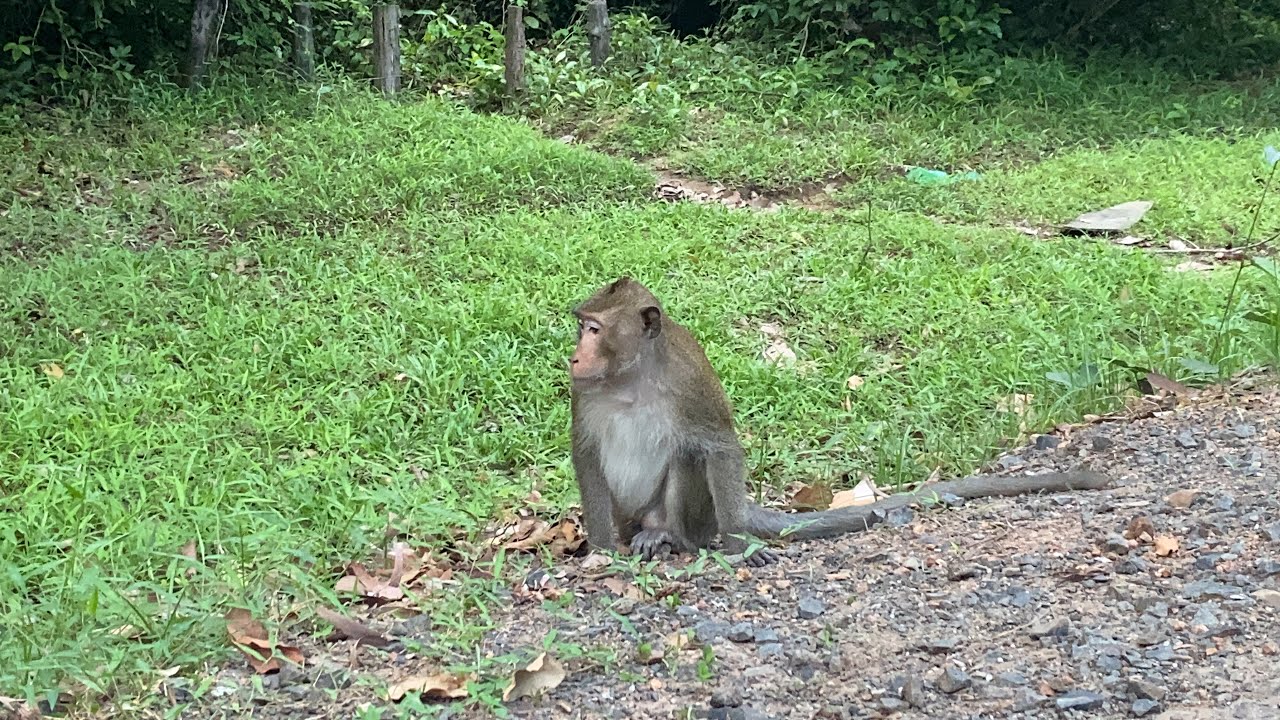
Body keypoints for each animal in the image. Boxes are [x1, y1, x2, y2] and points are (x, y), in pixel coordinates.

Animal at [567, 276, 1112, 566]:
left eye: (593, 329)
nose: (574, 357)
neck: (633, 374)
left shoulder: (689, 380)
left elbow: (719, 447)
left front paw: (740, 547)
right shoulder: (584, 394)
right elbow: (587, 454)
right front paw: (601, 551)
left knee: (688, 460)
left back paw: (672, 537)